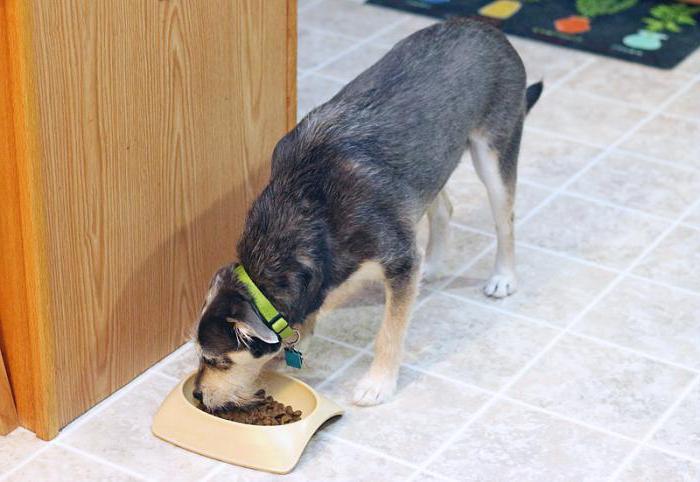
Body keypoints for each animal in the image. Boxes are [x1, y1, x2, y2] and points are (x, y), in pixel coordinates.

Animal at [194, 17, 544, 410]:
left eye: (216, 361)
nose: (197, 393)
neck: (305, 206)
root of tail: (486, 28)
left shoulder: (399, 260)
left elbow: (388, 333)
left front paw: (379, 384)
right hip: (425, 170)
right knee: (443, 206)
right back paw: (434, 263)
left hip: (494, 151)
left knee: (505, 220)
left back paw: (503, 277)